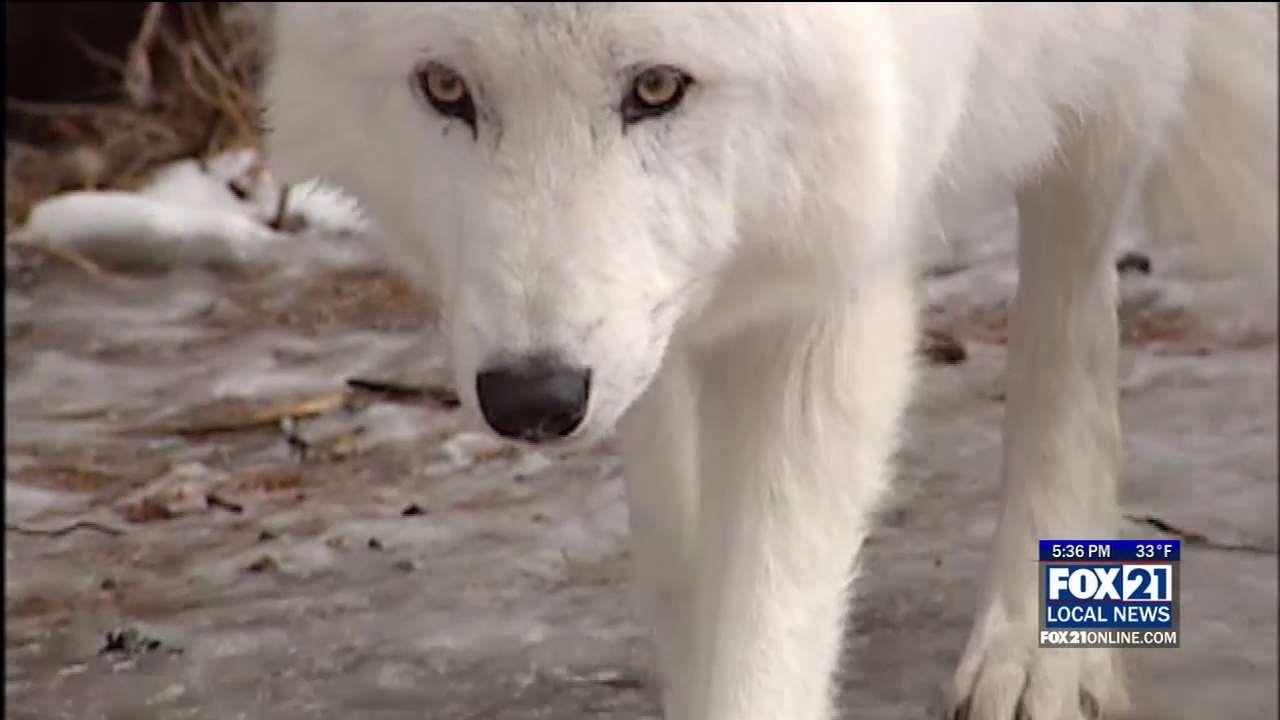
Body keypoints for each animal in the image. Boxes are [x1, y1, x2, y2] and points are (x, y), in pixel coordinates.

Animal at [261, 3, 1278, 718]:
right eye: (444, 87)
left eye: (657, 88)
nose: (529, 397)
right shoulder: (654, 329)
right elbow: (681, 562)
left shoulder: (832, 292)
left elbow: (767, 619)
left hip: (1103, 82)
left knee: (1066, 323)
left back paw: (1036, 654)